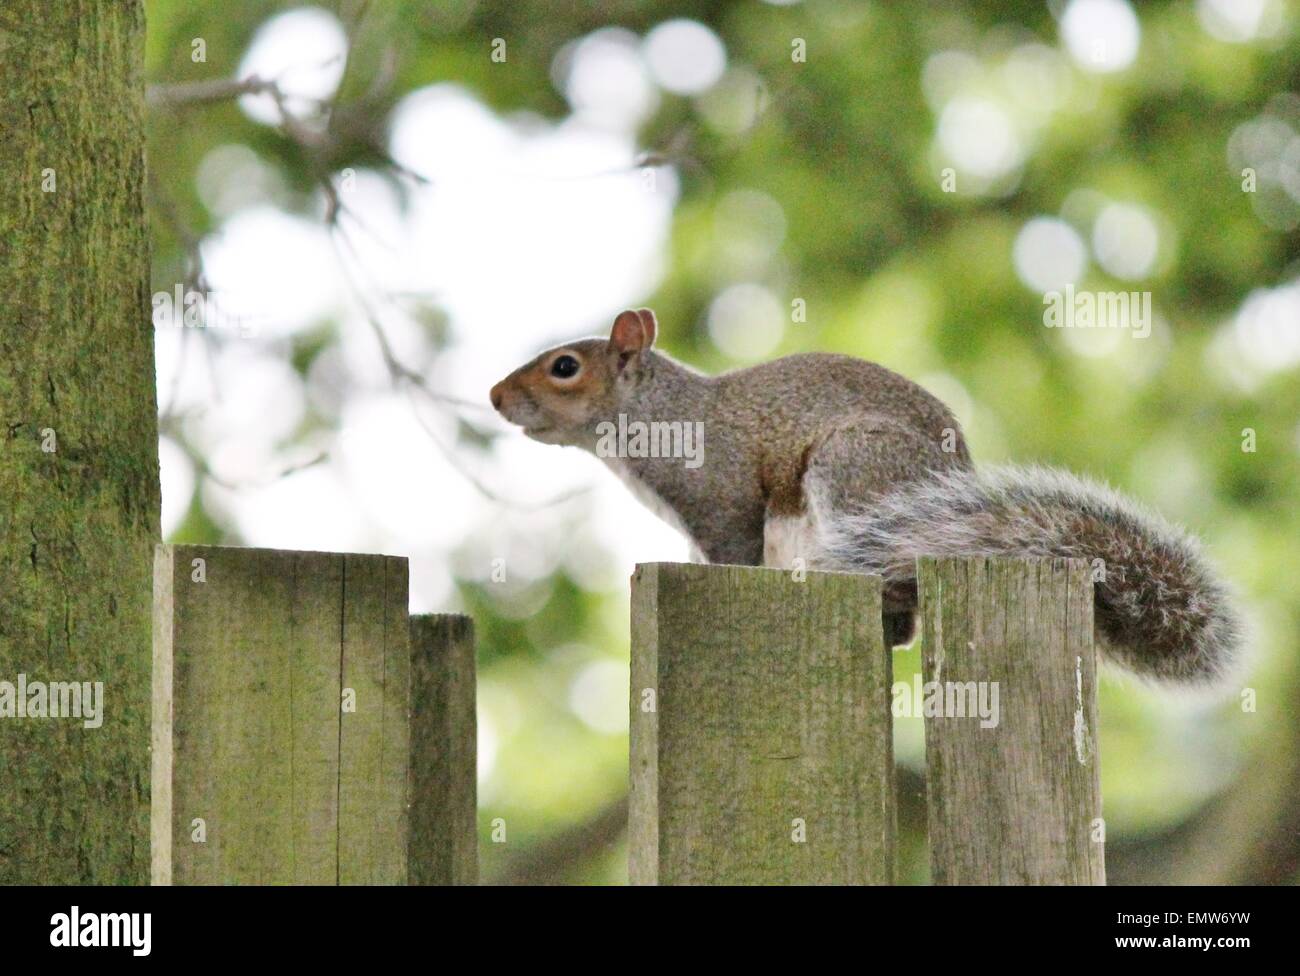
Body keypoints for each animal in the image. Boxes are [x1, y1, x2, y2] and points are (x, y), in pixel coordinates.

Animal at [489, 308, 1245, 686]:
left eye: (564, 367)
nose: (495, 397)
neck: (652, 416)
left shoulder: (723, 496)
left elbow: (731, 551)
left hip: (849, 468)